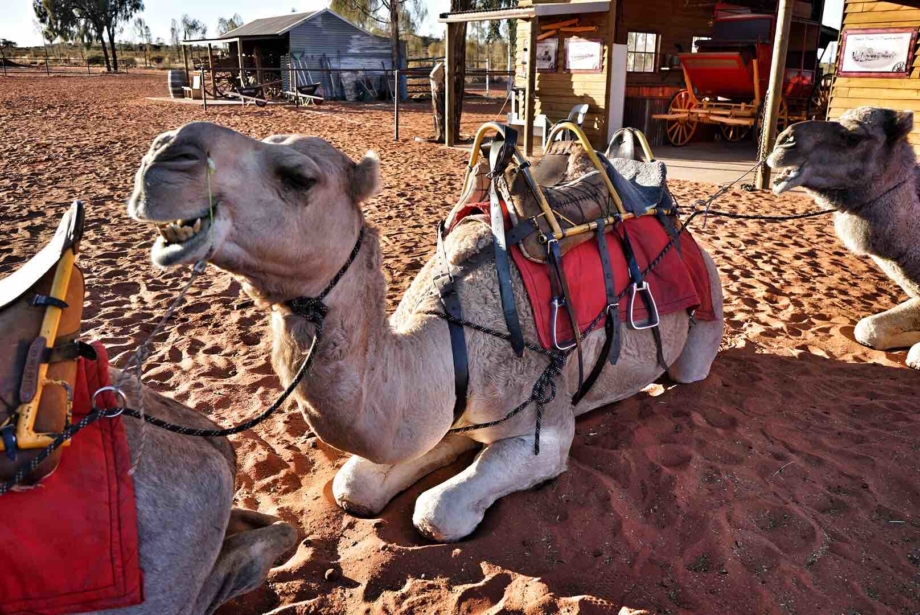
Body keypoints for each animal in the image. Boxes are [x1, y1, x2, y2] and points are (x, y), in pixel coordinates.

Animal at [127, 122, 724, 542]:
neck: (451, 338)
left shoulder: (545, 429)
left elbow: (436, 511)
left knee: (691, 371)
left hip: (705, 314)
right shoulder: (446, 413)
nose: (164, 156)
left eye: (298, 176)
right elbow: (354, 485)